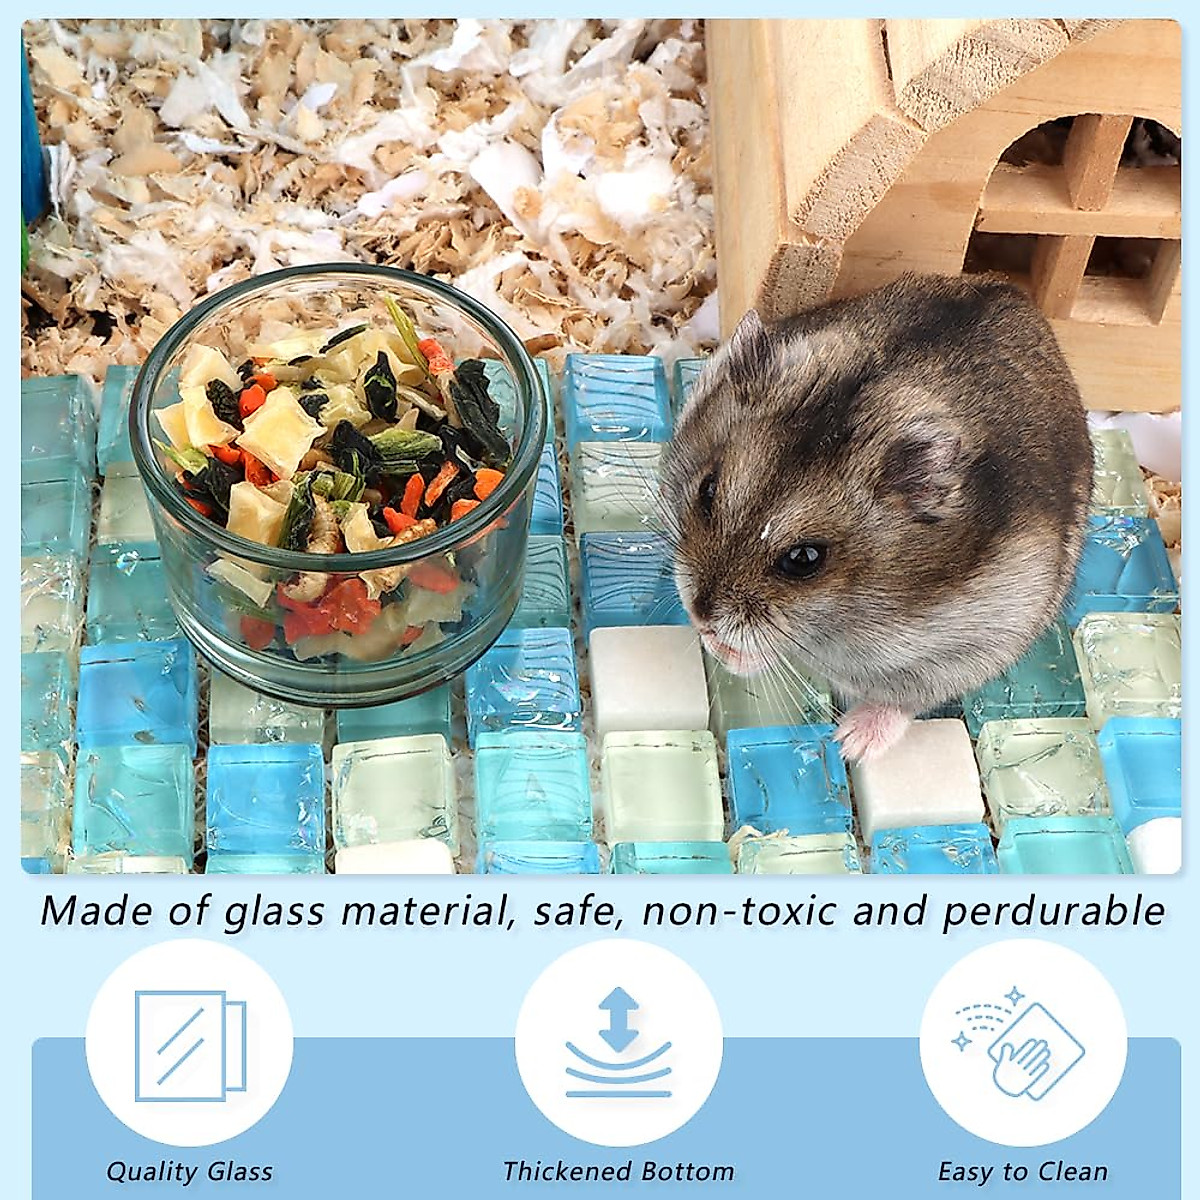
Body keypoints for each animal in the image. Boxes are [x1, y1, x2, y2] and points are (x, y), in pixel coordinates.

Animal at [660, 273, 1093, 761]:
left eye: (804, 560)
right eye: (707, 490)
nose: (701, 619)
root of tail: (1018, 295)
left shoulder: (969, 648)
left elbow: (902, 698)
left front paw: (849, 744)